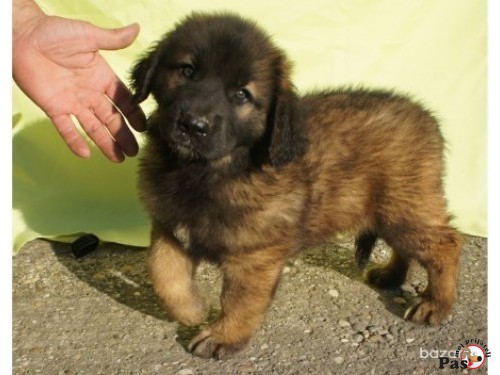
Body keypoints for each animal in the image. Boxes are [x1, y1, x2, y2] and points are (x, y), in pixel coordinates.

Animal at [131, 11, 462, 358]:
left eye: (242, 94)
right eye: (187, 70)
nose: (194, 125)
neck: (203, 171)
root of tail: (428, 119)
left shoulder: (254, 255)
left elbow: (239, 300)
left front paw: (224, 335)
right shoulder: (170, 228)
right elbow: (163, 273)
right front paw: (192, 311)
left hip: (406, 208)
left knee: (446, 245)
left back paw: (435, 304)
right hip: (393, 212)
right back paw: (390, 275)